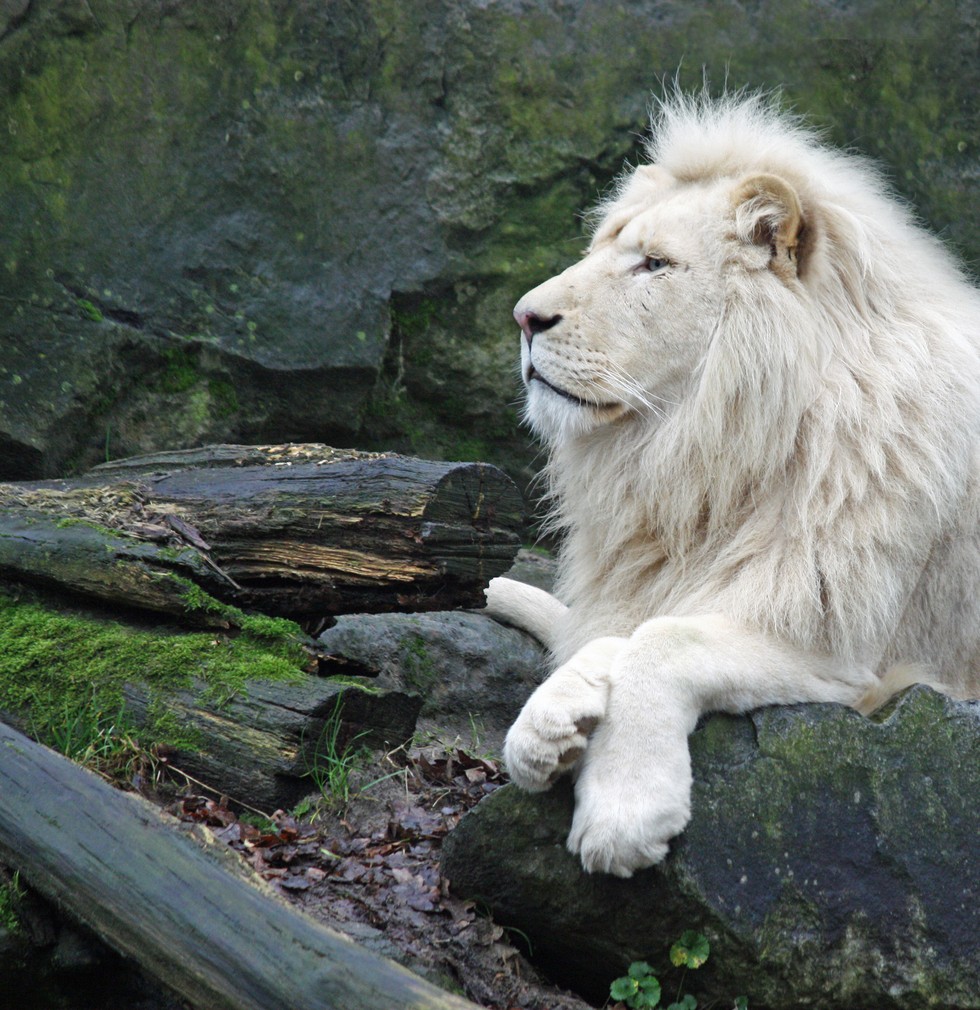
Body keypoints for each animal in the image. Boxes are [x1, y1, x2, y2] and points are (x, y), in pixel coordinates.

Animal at [484, 91, 980, 878]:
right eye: (599, 251)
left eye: (653, 263)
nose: (525, 319)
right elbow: (626, 631)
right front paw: (546, 728)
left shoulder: (859, 662)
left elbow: (666, 639)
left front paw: (624, 811)